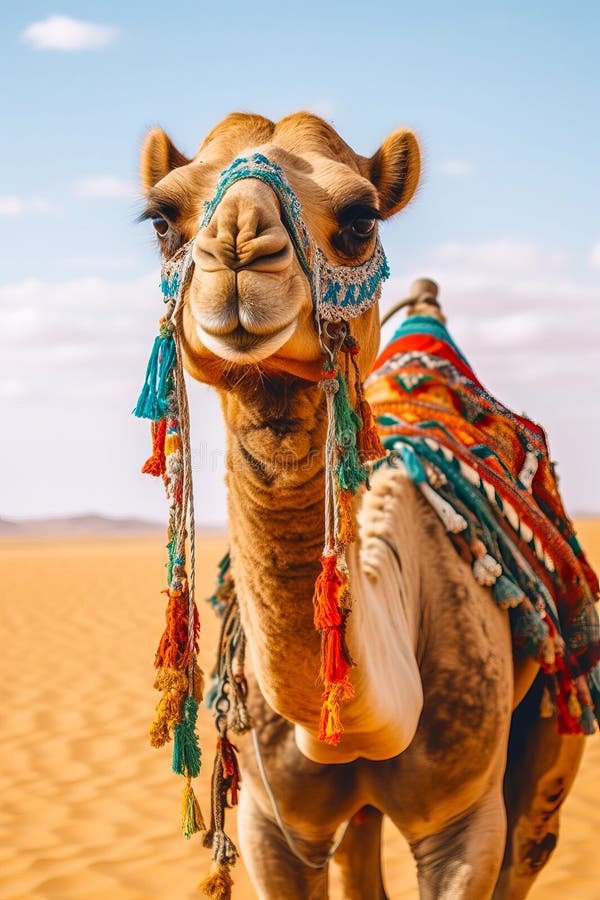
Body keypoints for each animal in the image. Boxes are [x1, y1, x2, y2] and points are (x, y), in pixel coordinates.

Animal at [139, 112, 589, 899]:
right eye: (163, 220)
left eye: (360, 219)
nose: (238, 248)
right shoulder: (270, 826)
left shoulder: (462, 825)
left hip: (558, 708)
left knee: (533, 837)